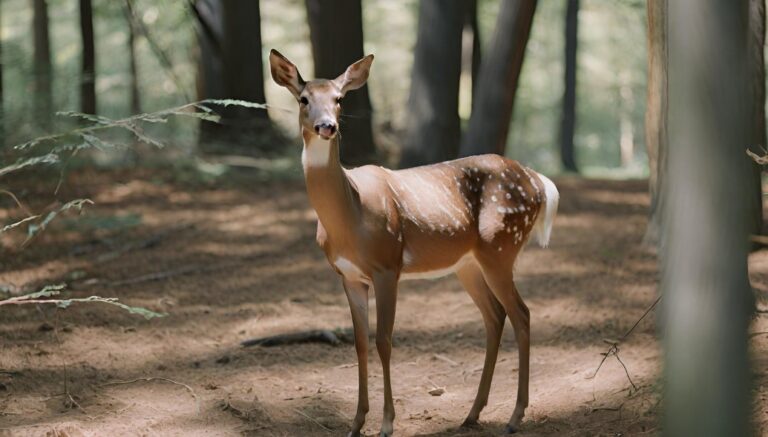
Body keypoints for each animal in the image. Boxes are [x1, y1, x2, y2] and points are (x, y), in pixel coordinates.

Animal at [268, 49, 559, 436]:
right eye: (303, 99)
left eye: (339, 99)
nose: (327, 126)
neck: (350, 217)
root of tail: (539, 181)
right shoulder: (348, 275)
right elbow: (360, 343)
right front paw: (356, 423)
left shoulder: (387, 265)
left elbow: (384, 341)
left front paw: (387, 423)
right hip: (469, 264)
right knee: (495, 316)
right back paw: (472, 413)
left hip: (501, 246)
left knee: (521, 314)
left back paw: (514, 416)